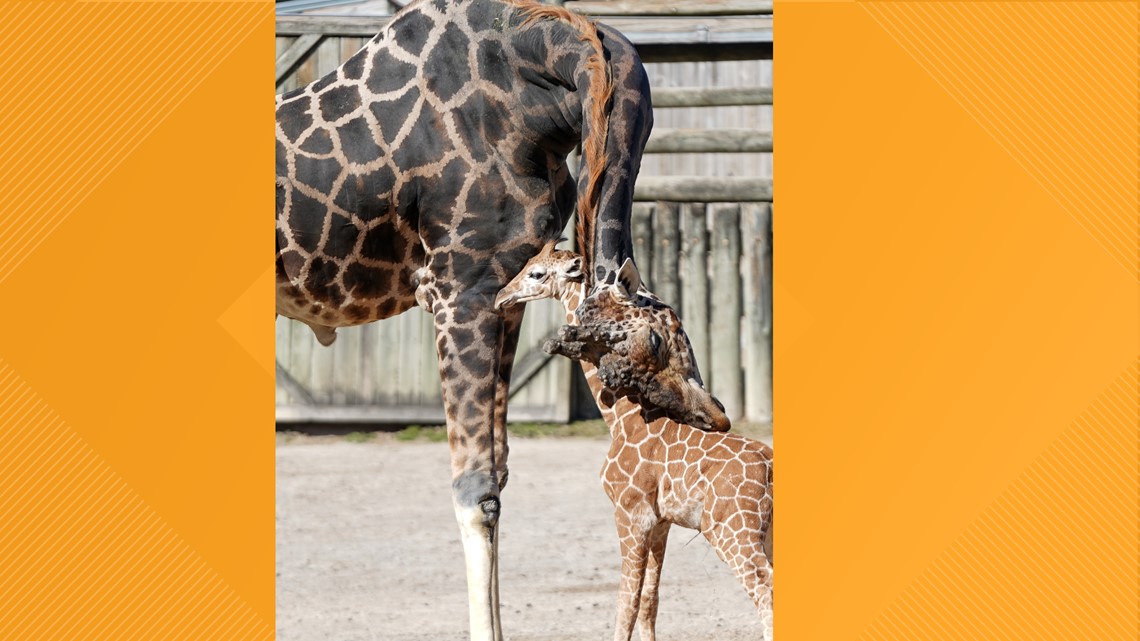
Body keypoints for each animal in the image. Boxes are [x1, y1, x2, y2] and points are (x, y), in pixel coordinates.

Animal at [274, 1, 728, 639]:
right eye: (646, 358)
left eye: (680, 342)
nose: (720, 421)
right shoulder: (459, 288)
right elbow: (478, 491)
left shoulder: (504, 290)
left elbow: (501, 474)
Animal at [495, 244, 774, 641]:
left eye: (536, 273)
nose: (502, 297)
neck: (622, 418)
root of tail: (770, 470)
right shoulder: (660, 523)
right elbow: (649, 601)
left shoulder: (630, 514)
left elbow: (625, 604)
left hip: (733, 532)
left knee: (766, 594)